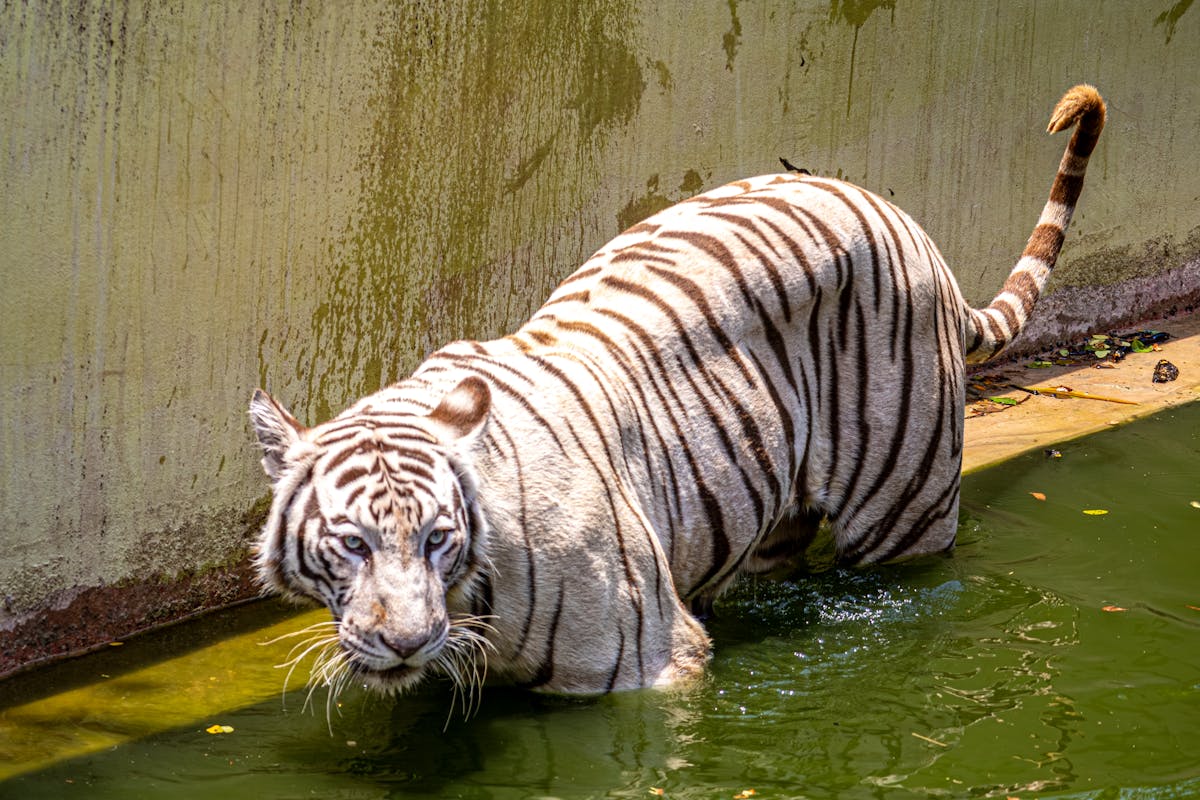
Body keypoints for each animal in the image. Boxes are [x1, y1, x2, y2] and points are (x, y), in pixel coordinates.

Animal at [249, 85, 1105, 701]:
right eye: (353, 543)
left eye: (437, 539)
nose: (406, 644)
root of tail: (902, 217)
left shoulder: (653, 662)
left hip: (903, 509)